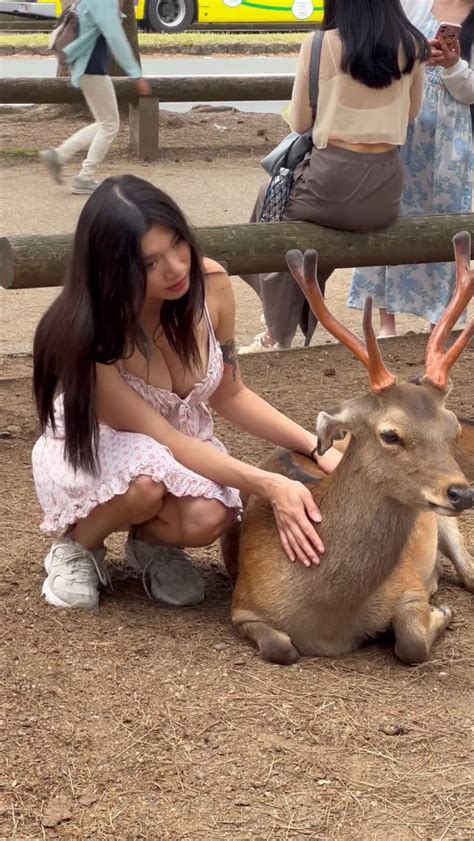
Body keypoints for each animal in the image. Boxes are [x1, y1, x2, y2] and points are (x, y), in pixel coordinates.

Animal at [223, 232, 474, 666]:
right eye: (390, 434)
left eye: (452, 427)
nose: (462, 492)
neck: (329, 622)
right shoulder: (243, 603)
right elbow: (280, 648)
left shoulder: (407, 584)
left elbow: (412, 642)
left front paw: (440, 611)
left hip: (441, 519)